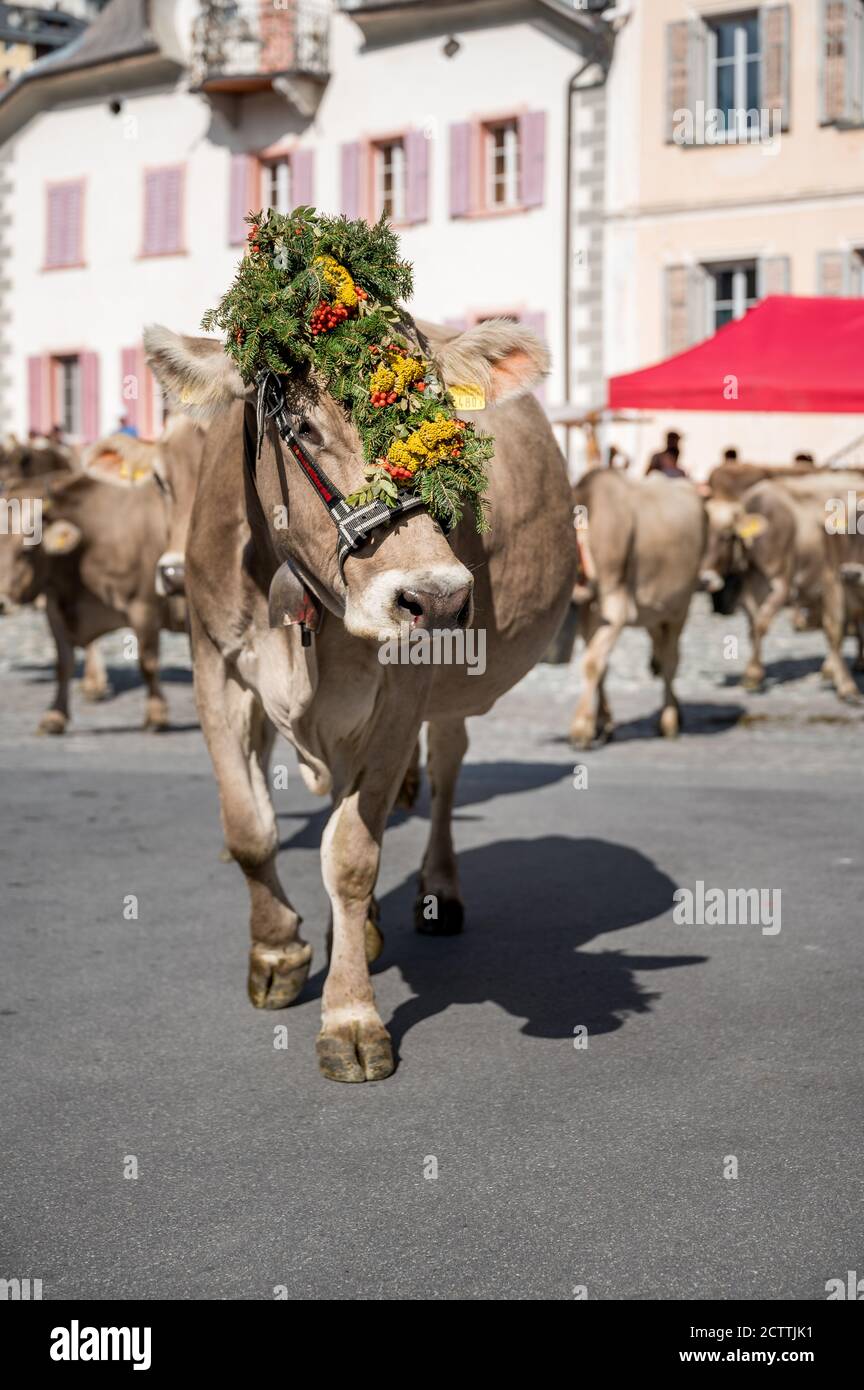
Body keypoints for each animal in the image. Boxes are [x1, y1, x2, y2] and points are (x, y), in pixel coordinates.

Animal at [143, 316, 576, 1083]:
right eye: (304, 427)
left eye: (444, 421)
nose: (437, 598)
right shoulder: (214, 666)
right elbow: (249, 827)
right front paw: (277, 950)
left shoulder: (399, 697)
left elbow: (350, 854)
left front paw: (349, 1017)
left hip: (445, 697)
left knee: (444, 771)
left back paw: (437, 891)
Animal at [560, 469, 705, 749]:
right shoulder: (587, 615)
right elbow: (601, 664)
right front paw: (603, 723)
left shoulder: (615, 606)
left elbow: (592, 663)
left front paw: (581, 728)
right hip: (653, 611)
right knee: (660, 650)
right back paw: (677, 712)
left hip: (679, 607)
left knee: (671, 659)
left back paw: (669, 721)